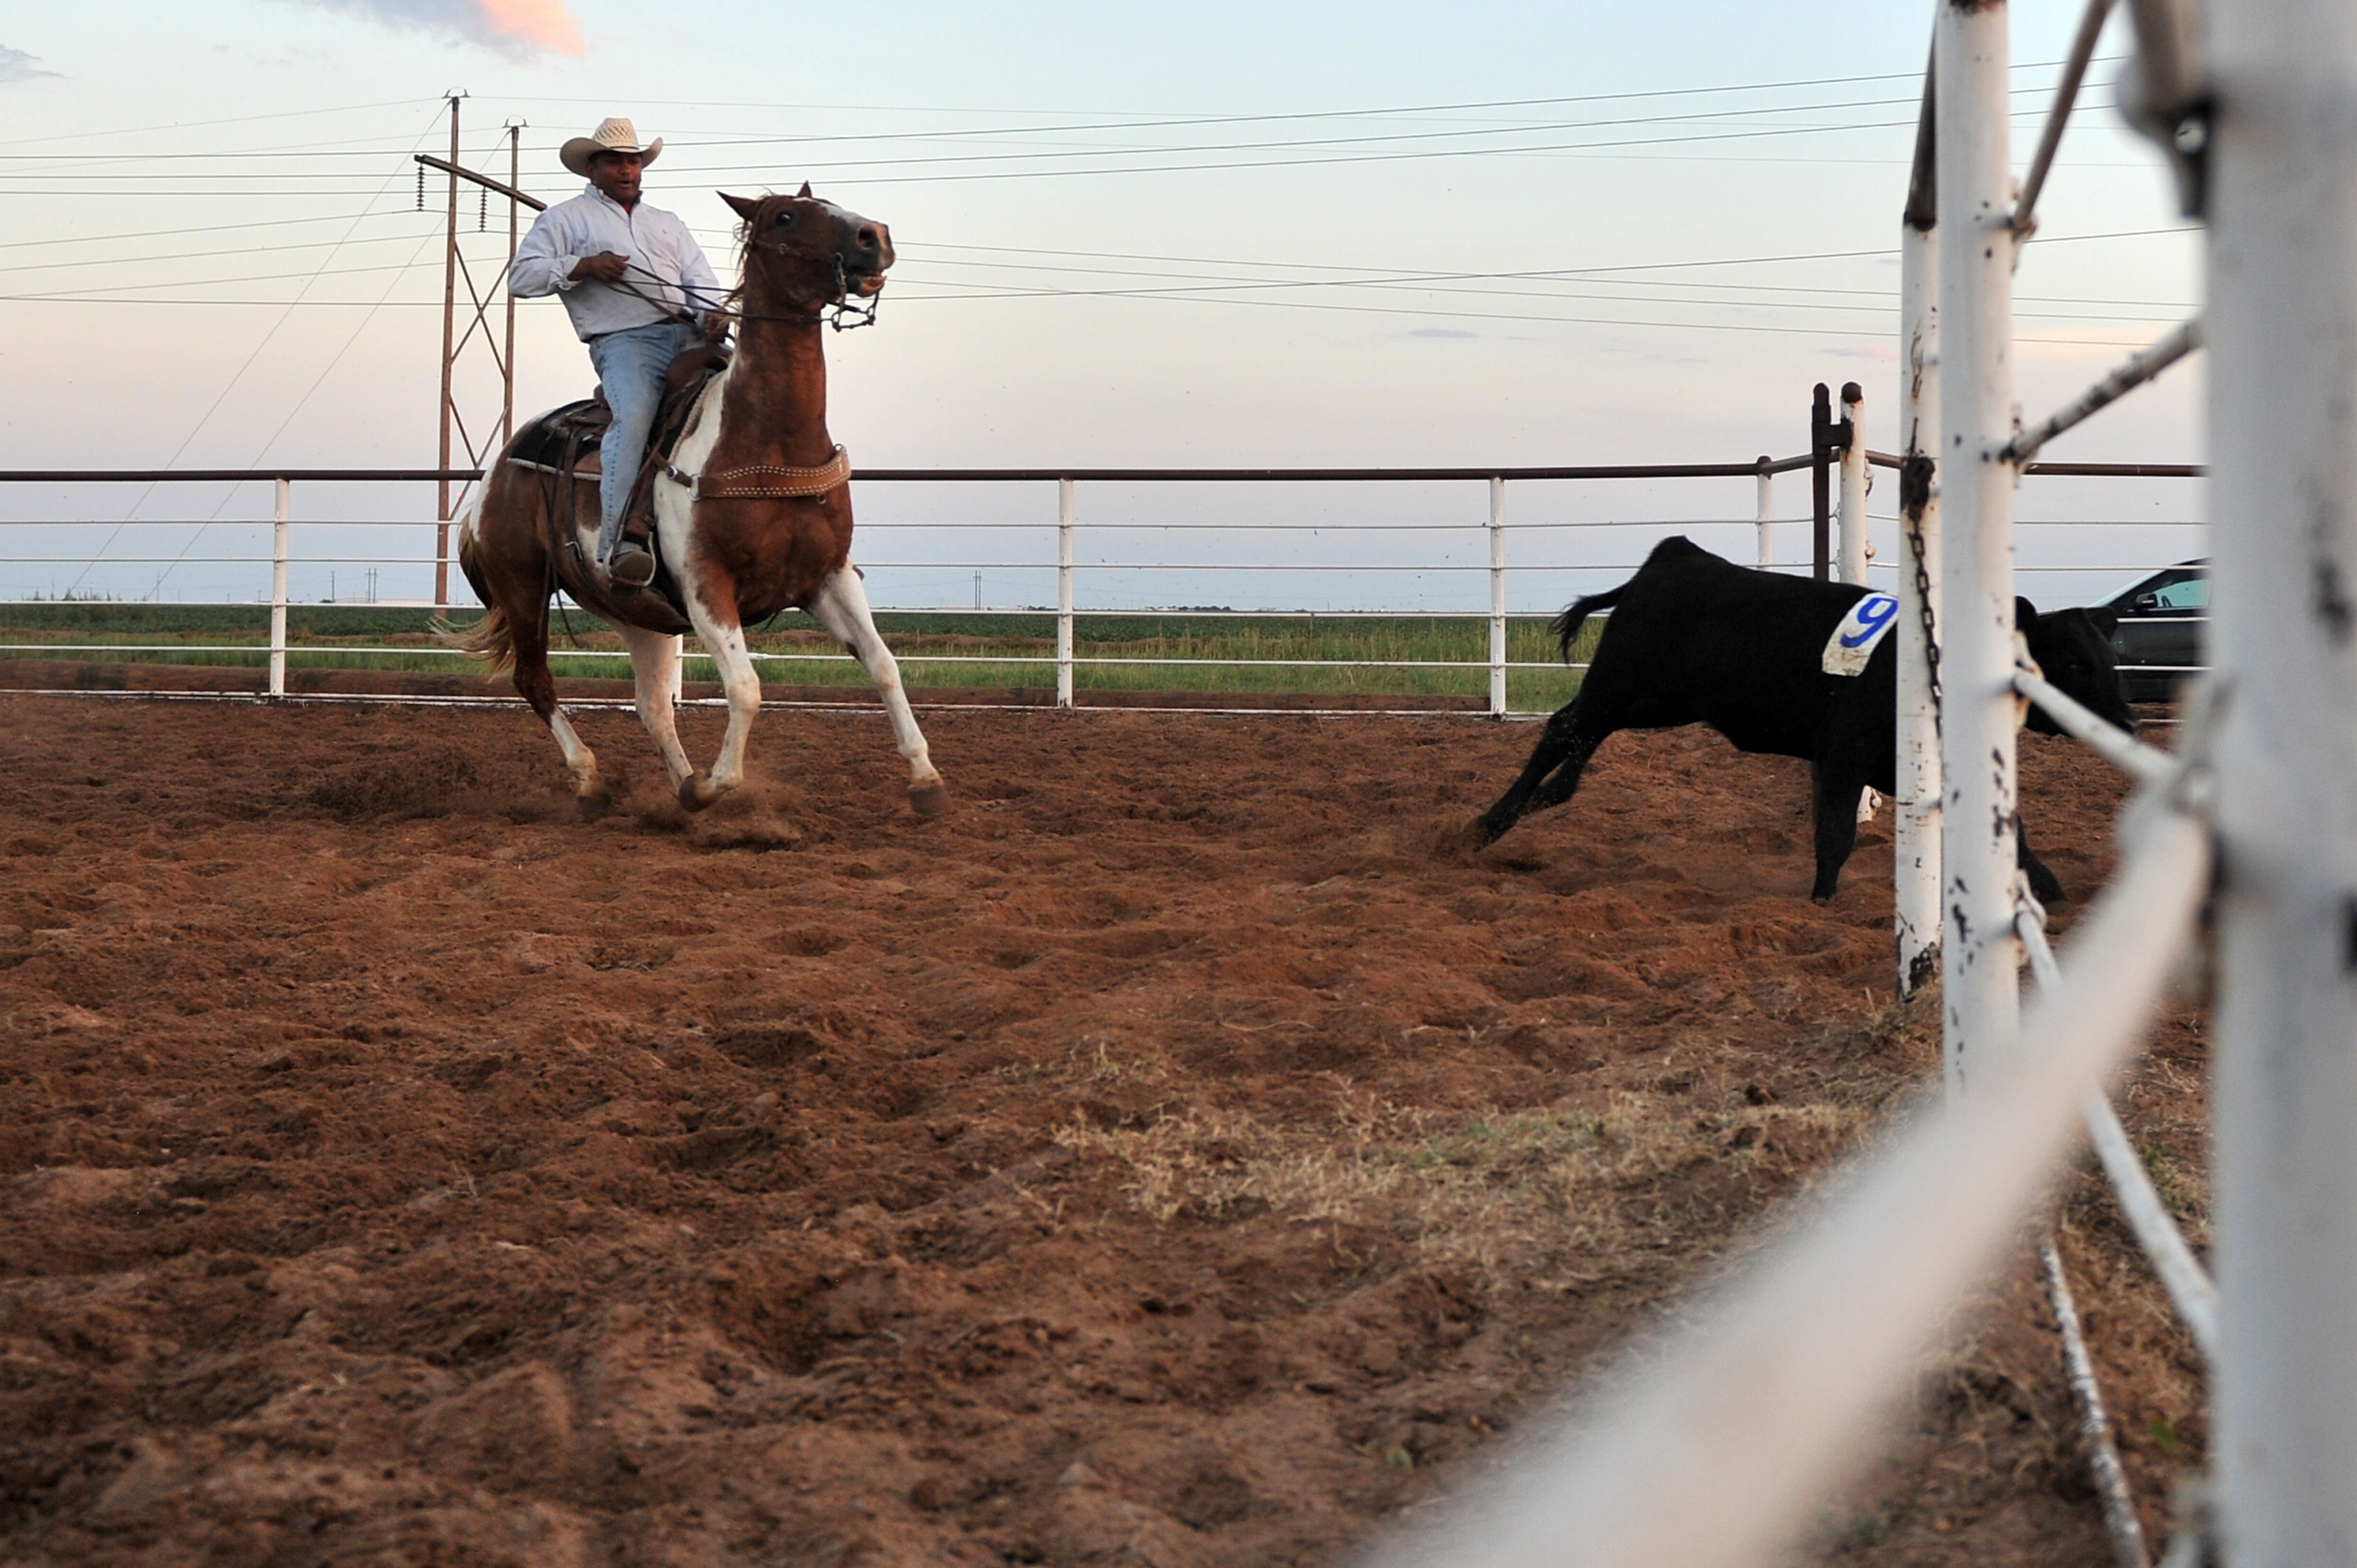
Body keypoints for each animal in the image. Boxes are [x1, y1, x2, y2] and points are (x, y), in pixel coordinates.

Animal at [1467, 537, 2133, 903]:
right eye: (2074, 662)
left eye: (2109, 658)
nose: (2127, 723)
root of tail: (1670, 559)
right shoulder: (1841, 755)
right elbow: (1834, 836)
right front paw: (1820, 900)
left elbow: (2014, 834)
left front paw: (2048, 888)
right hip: (1620, 683)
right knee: (1563, 730)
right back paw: (1486, 826)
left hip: (1655, 702)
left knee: (1580, 735)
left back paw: (1545, 798)